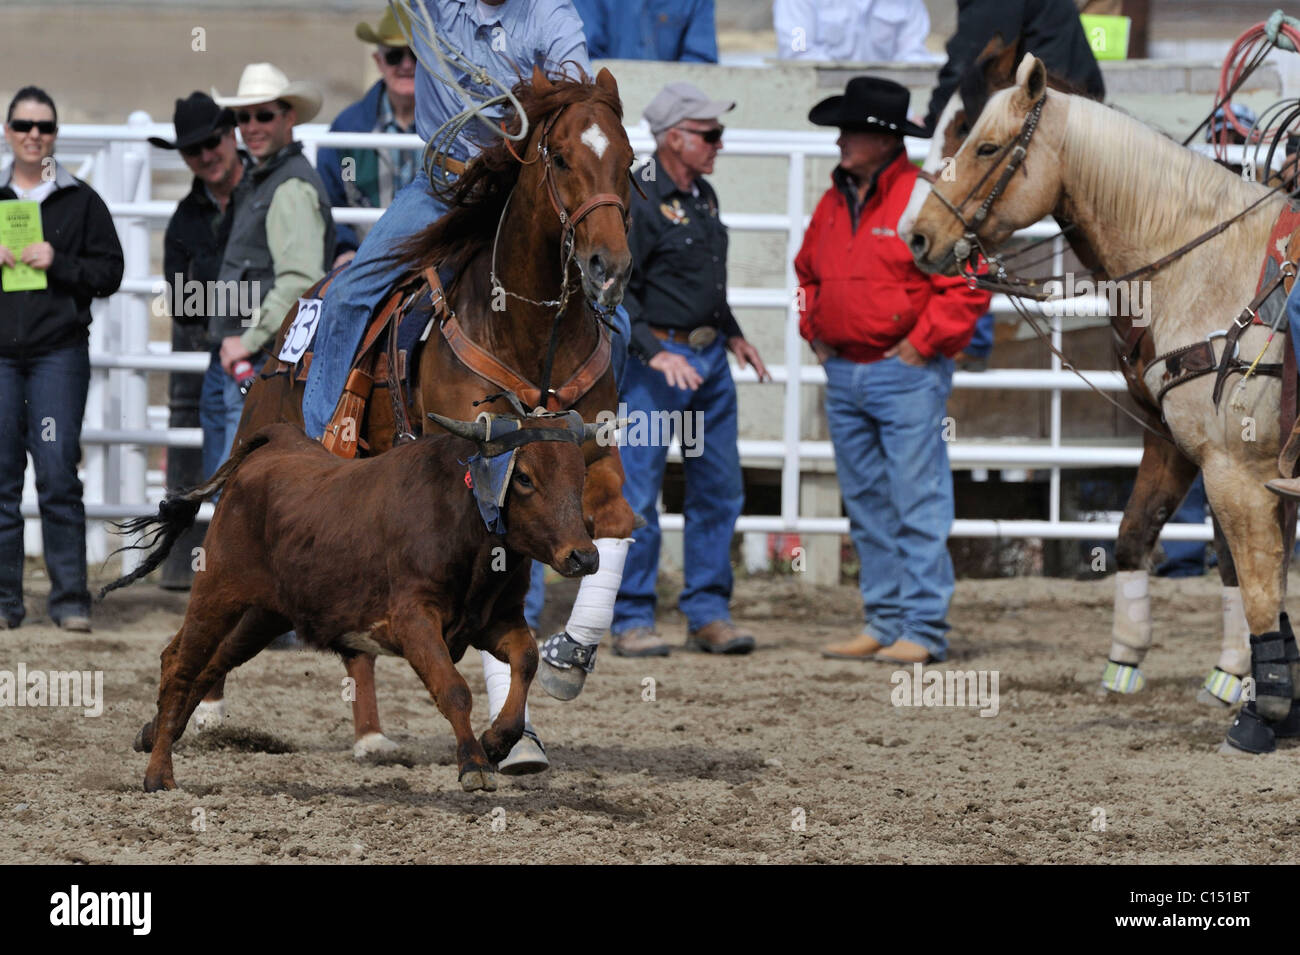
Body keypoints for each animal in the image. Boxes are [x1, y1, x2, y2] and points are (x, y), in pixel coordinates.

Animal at [101, 410, 604, 793]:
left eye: (581, 477)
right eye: (524, 478)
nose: (583, 556)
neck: (465, 519)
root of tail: (277, 443)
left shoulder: (495, 620)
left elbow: (527, 660)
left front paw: (498, 740)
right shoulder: (413, 621)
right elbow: (453, 689)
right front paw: (474, 764)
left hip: (263, 615)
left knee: (205, 663)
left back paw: (153, 734)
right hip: (218, 591)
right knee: (183, 665)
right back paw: (159, 774)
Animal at [192, 65, 638, 759]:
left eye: (629, 161)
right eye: (562, 158)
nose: (608, 267)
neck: (525, 332)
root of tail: (293, 319)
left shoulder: (590, 454)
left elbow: (614, 524)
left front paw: (568, 661)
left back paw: (371, 733)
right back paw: (212, 708)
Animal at [908, 54, 1300, 752]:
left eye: (984, 145)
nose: (921, 236)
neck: (1208, 268)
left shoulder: (1237, 469)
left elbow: (1255, 582)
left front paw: (1259, 712)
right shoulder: (1180, 444)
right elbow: (1147, 539)